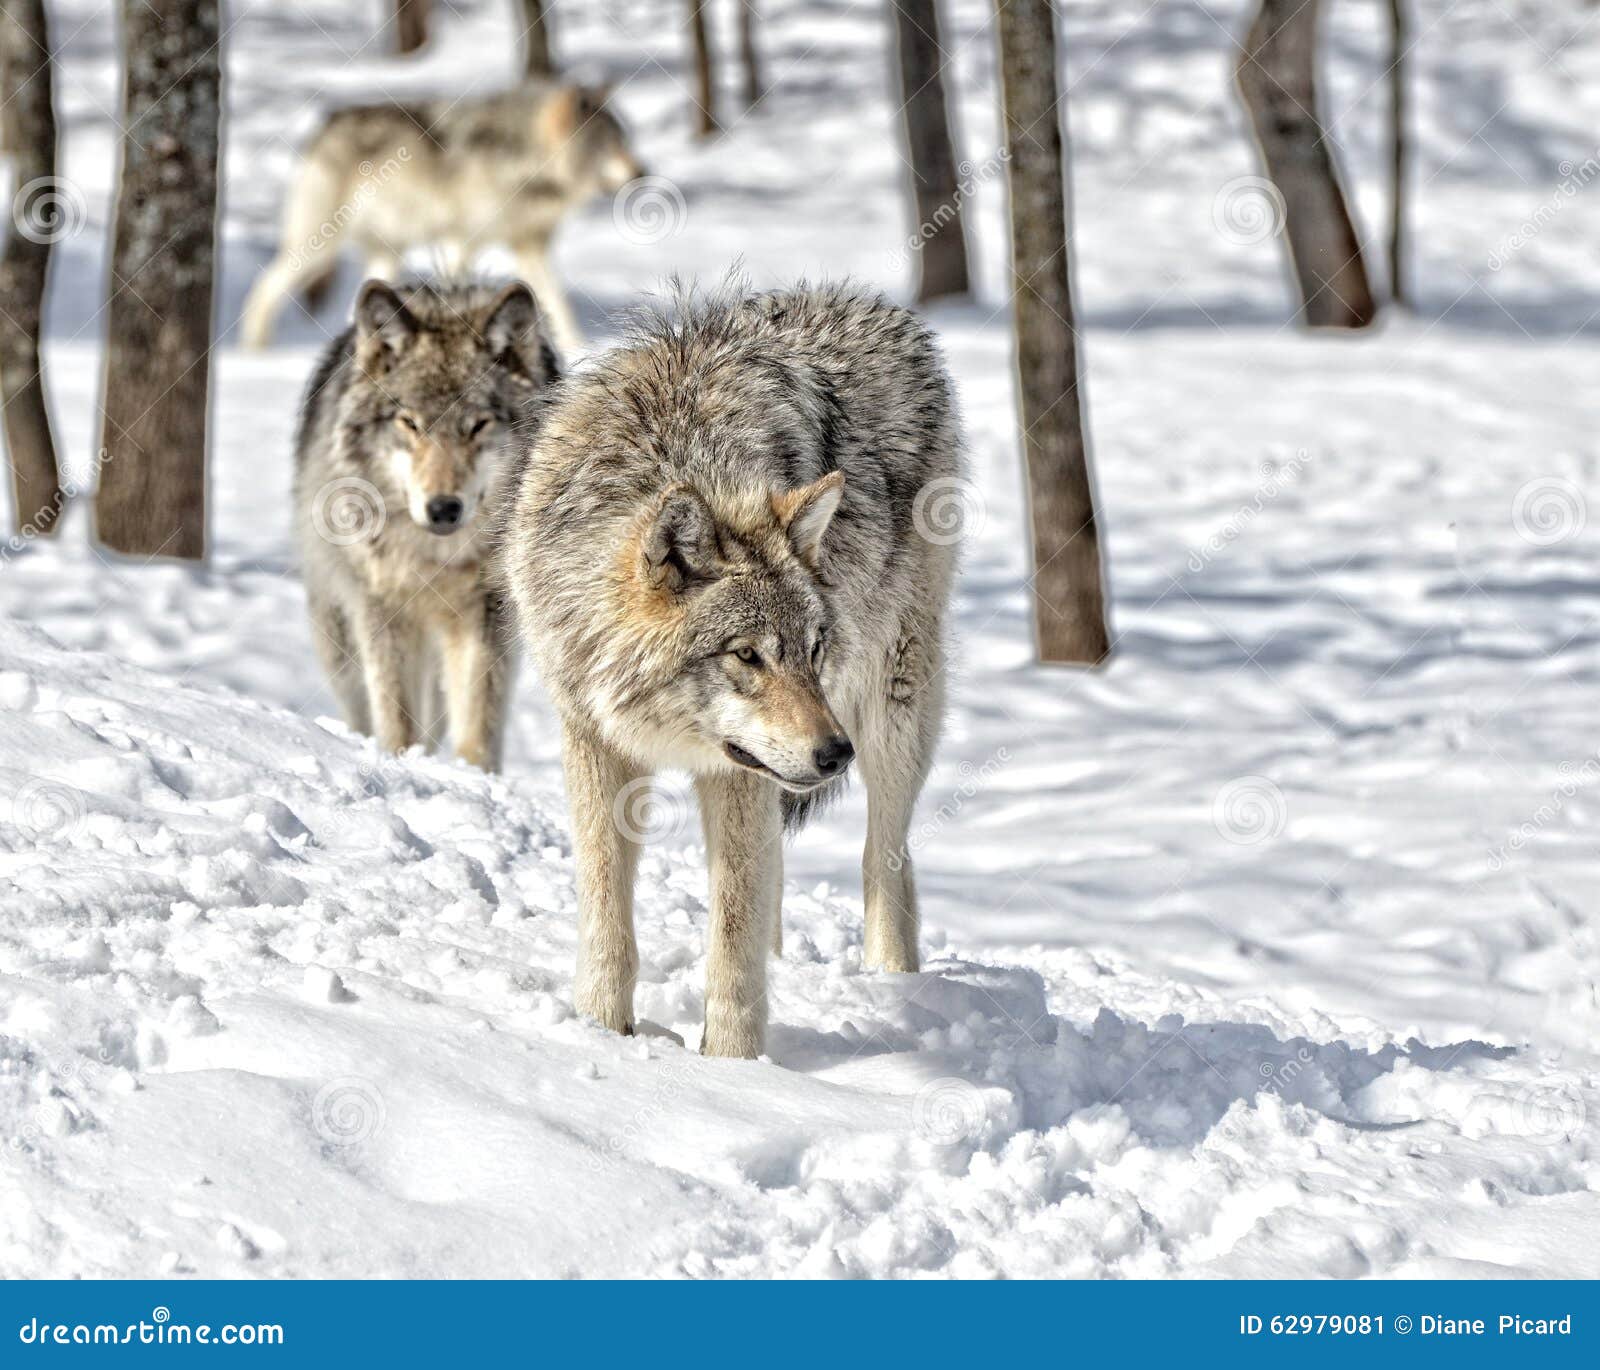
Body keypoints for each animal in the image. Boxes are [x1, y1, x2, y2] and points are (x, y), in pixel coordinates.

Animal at [242, 81, 644, 354]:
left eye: (625, 140)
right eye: (610, 145)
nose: (642, 171)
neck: (523, 162)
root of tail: (326, 124)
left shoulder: (529, 247)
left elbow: (558, 302)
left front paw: (579, 347)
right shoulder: (459, 243)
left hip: (386, 254)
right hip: (319, 247)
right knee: (265, 287)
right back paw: (256, 350)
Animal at [296, 278, 560, 772]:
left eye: (478, 425)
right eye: (410, 423)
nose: (443, 509)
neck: (438, 557)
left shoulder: (486, 612)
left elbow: (477, 718)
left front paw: (476, 778)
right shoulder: (382, 606)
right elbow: (396, 712)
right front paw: (398, 762)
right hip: (337, 635)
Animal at [500, 283, 962, 1058]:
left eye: (812, 648)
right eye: (747, 654)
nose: (834, 754)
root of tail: (871, 302)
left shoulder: (734, 768)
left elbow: (732, 930)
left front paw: (732, 1066)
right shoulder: (593, 738)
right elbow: (606, 907)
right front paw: (601, 1030)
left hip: (896, 709)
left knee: (885, 858)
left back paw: (893, 984)